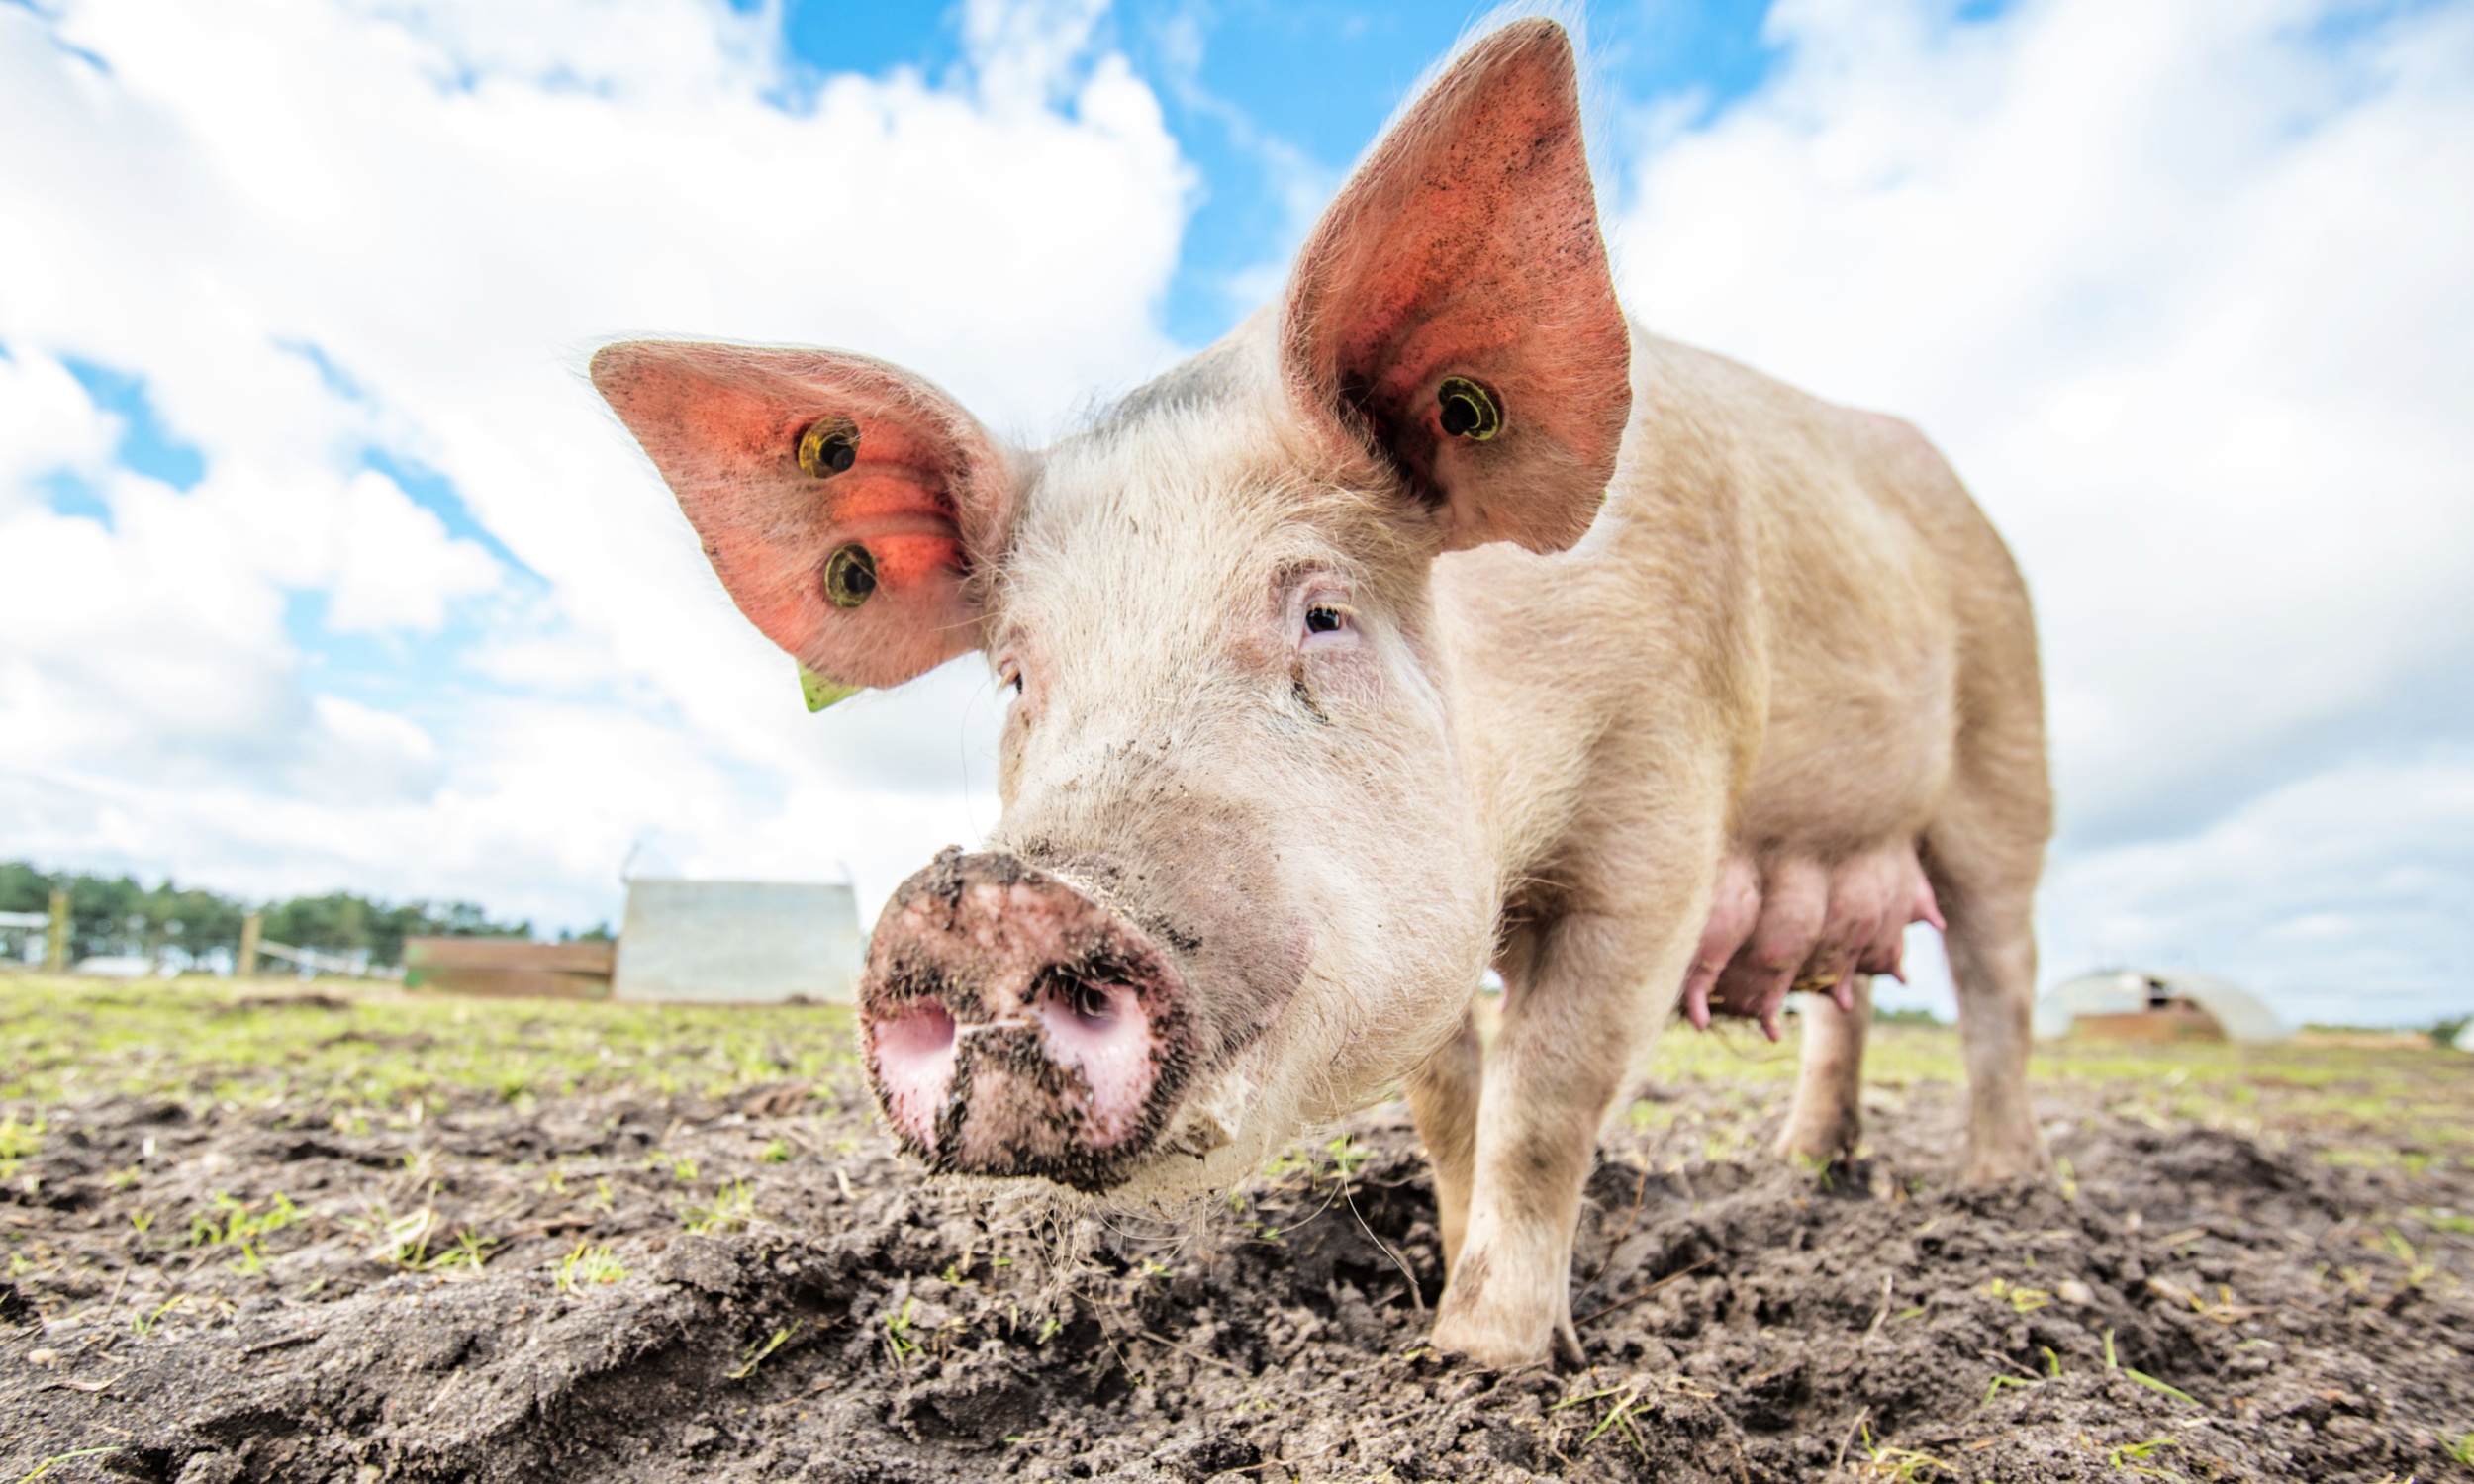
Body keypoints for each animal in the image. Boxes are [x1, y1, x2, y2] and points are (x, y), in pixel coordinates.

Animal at [591, 17, 2051, 1370]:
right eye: (1015, 671)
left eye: (1322, 611)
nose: (982, 902)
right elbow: (1451, 1103)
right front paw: (1439, 1293)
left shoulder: (1662, 797)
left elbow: (1547, 1097)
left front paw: (1480, 1363)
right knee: (1846, 999)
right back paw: (1810, 1171)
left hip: (2007, 761)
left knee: (1997, 980)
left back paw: (1996, 1194)